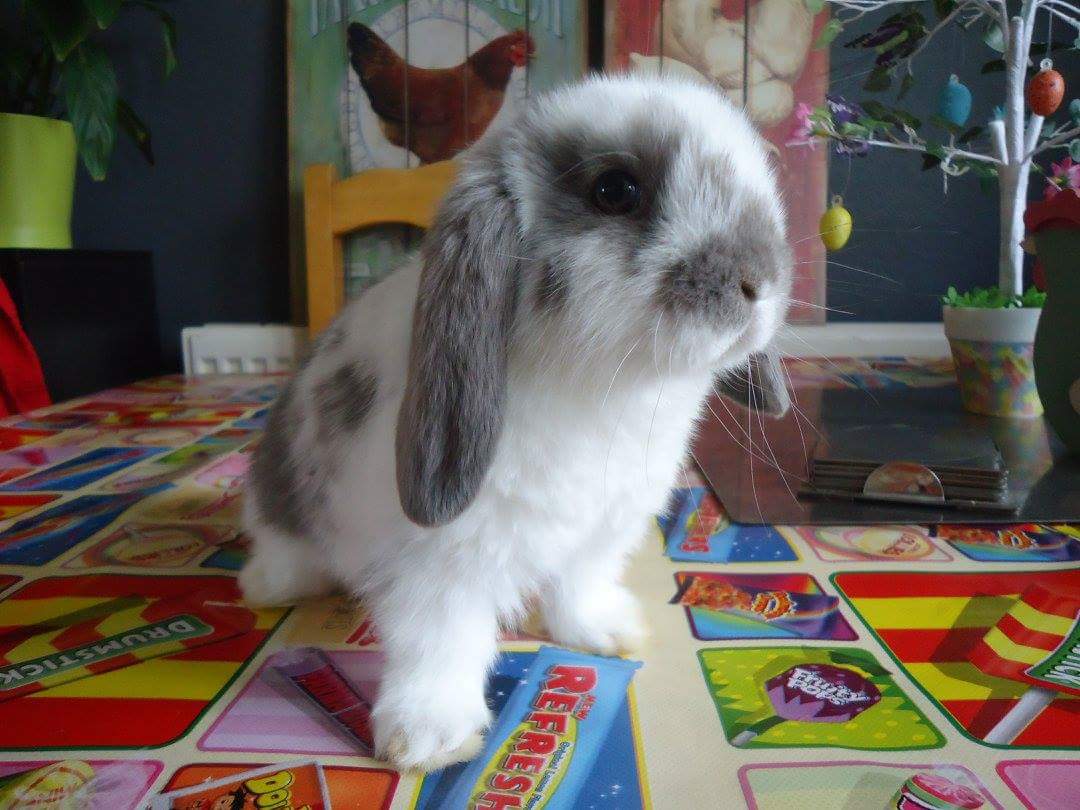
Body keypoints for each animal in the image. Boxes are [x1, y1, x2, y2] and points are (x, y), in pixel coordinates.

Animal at [239, 73, 793, 771]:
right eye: (615, 190)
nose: (758, 282)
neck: (604, 389)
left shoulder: (605, 529)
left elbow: (578, 585)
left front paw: (608, 631)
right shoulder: (438, 562)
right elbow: (442, 639)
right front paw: (428, 738)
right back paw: (264, 584)